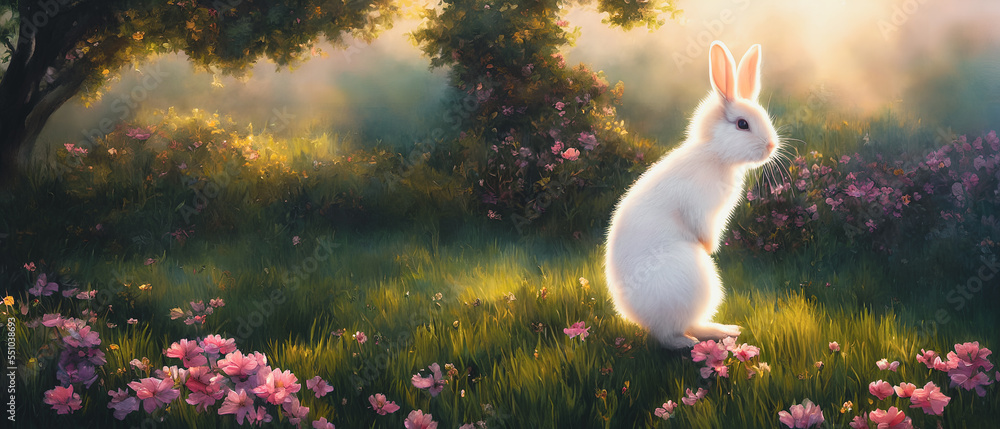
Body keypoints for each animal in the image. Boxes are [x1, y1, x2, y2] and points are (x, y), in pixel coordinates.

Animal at [604, 41, 780, 349]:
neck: (716, 155)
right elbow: (703, 229)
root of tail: (635, 316)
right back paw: (693, 341)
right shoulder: (700, 209)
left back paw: (724, 330)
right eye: (742, 124)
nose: (771, 146)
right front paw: (710, 249)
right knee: (669, 334)